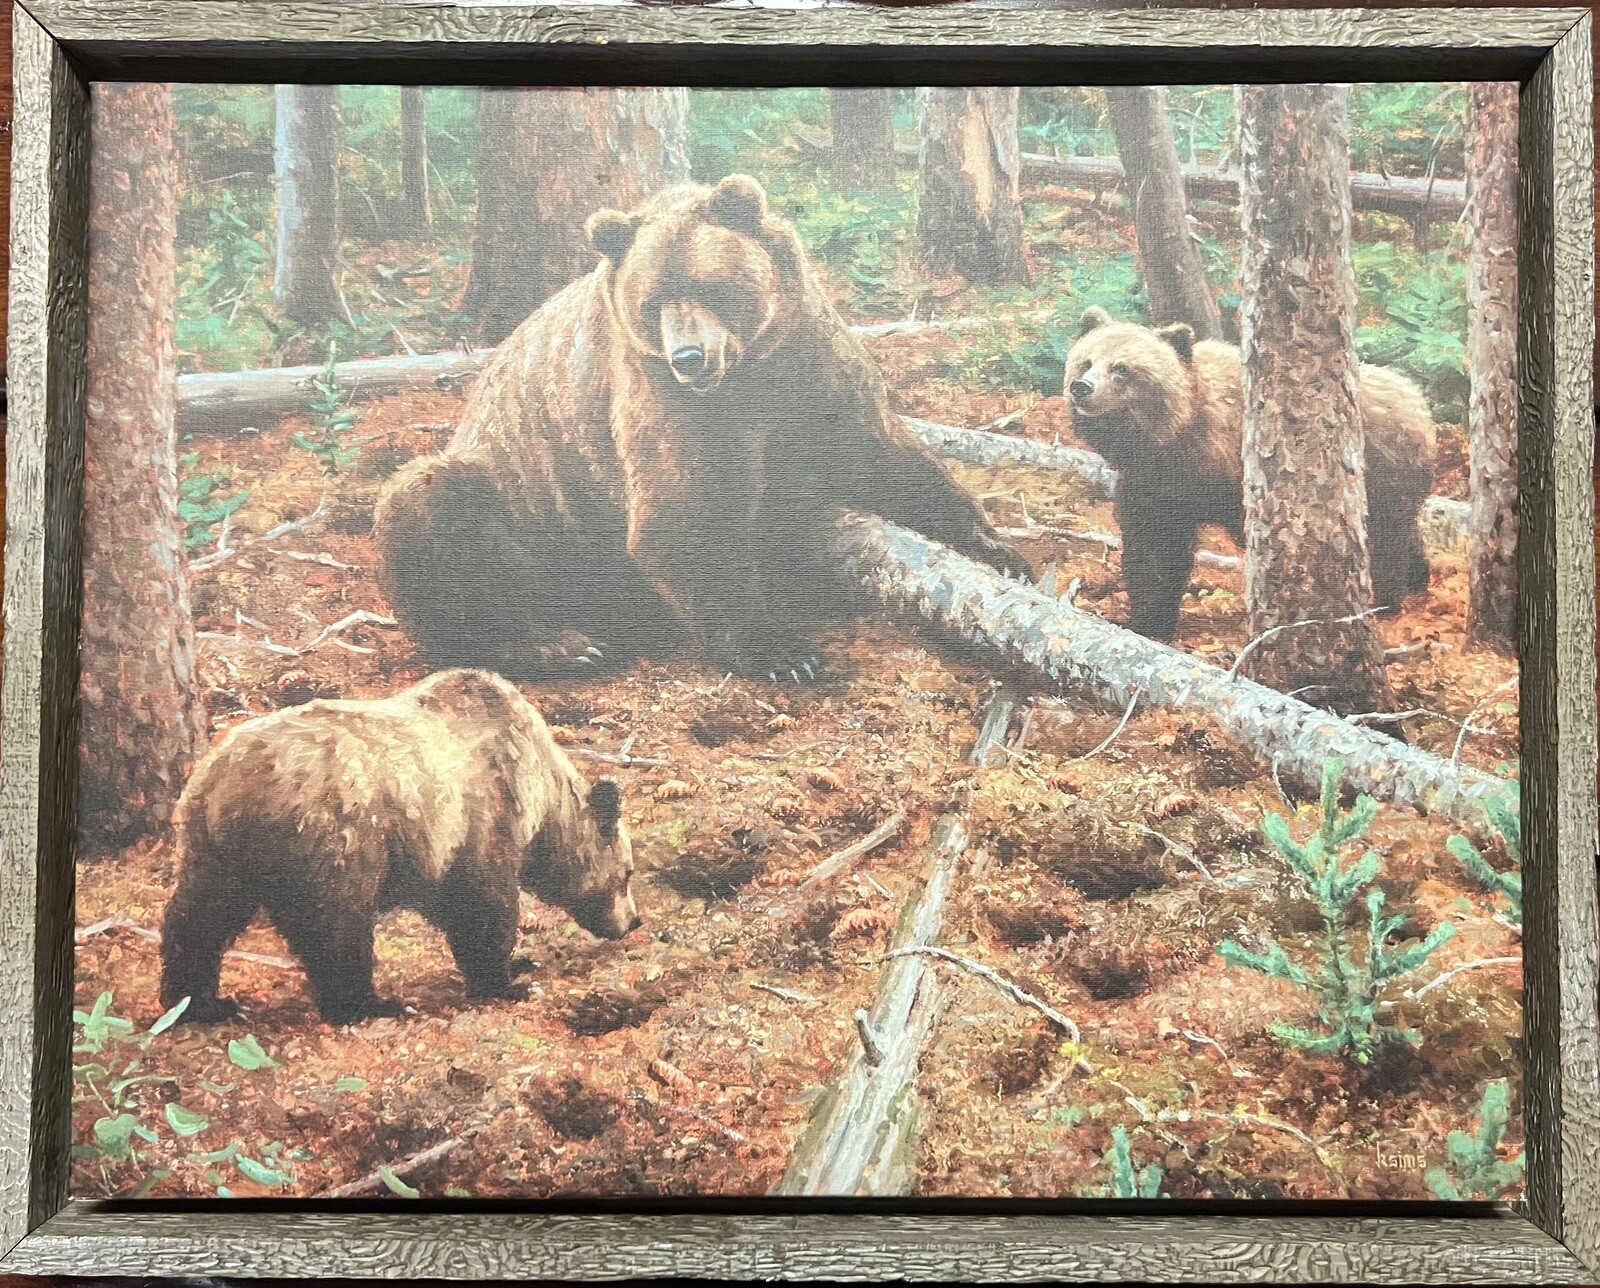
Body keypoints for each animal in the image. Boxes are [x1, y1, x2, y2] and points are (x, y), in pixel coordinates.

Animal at [160, 669, 638, 1026]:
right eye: (628, 873)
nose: (634, 921)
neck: (544, 798)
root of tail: (229, 781)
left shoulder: (436, 849)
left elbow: (452, 905)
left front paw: (518, 964)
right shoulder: (485, 810)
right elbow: (485, 902)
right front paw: (507, 981)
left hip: (214, 847)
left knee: (201, 916)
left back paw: (198, 1003)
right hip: (332, 834)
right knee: (338, 924)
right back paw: (370, 1004)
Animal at [372, 174, 1027, 684]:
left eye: (706, 286)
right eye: (653, 301)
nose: (688, 357)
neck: (750, 372)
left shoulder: (811, 365)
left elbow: (882, 456)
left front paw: (996, 549)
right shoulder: (656, 393)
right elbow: (685, 511)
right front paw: (782, 651)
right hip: (529, 506)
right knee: (435, 506)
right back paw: (554, 643)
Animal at [1063, 307, 1437, 641]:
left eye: (1121, 368)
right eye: (1086, 361)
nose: (1081, 387)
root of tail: (1419, 403)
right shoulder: (1153, 485)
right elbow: (1154, 549)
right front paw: (1146, 620)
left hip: (1384, 473)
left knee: (1386, 539)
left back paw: (1385, 600)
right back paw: (1417, 578)